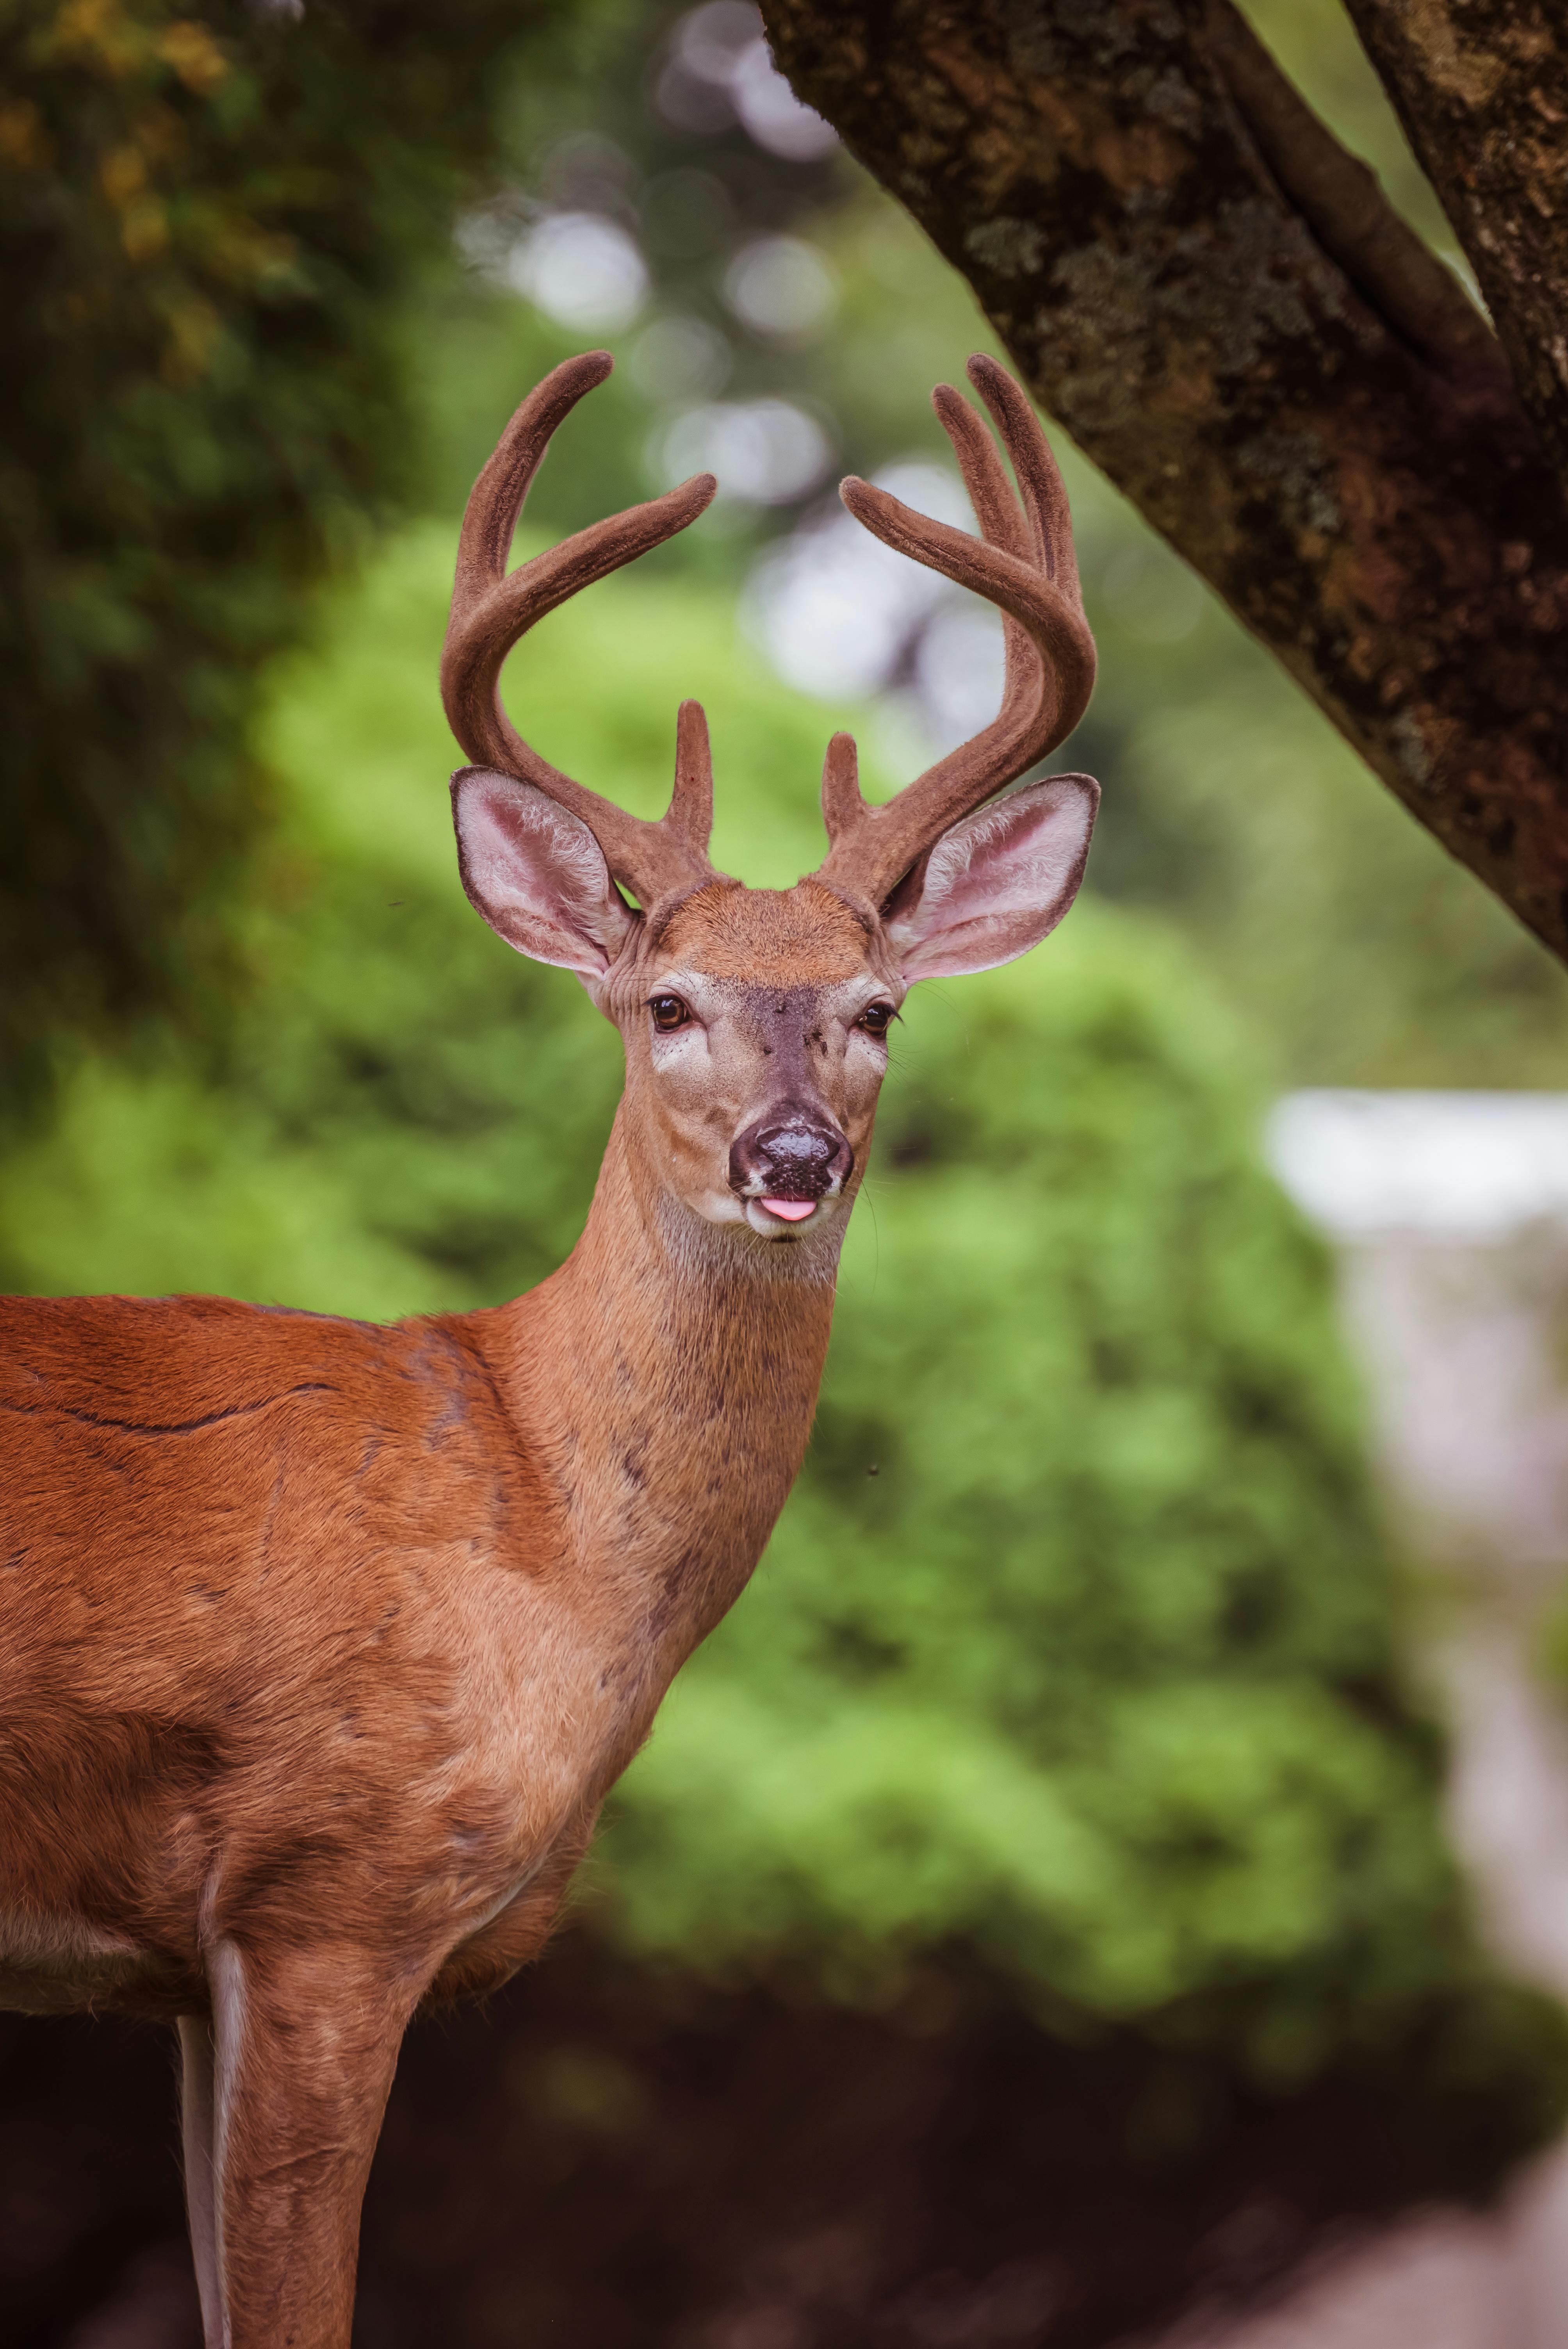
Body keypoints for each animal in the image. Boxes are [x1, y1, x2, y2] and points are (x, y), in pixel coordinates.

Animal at [0, 349, 1097, 2348]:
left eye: (875, 1011)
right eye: (664, 1001)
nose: (790, 1158)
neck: (528, 1494)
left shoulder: (184, 1967)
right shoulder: (330, 1887)